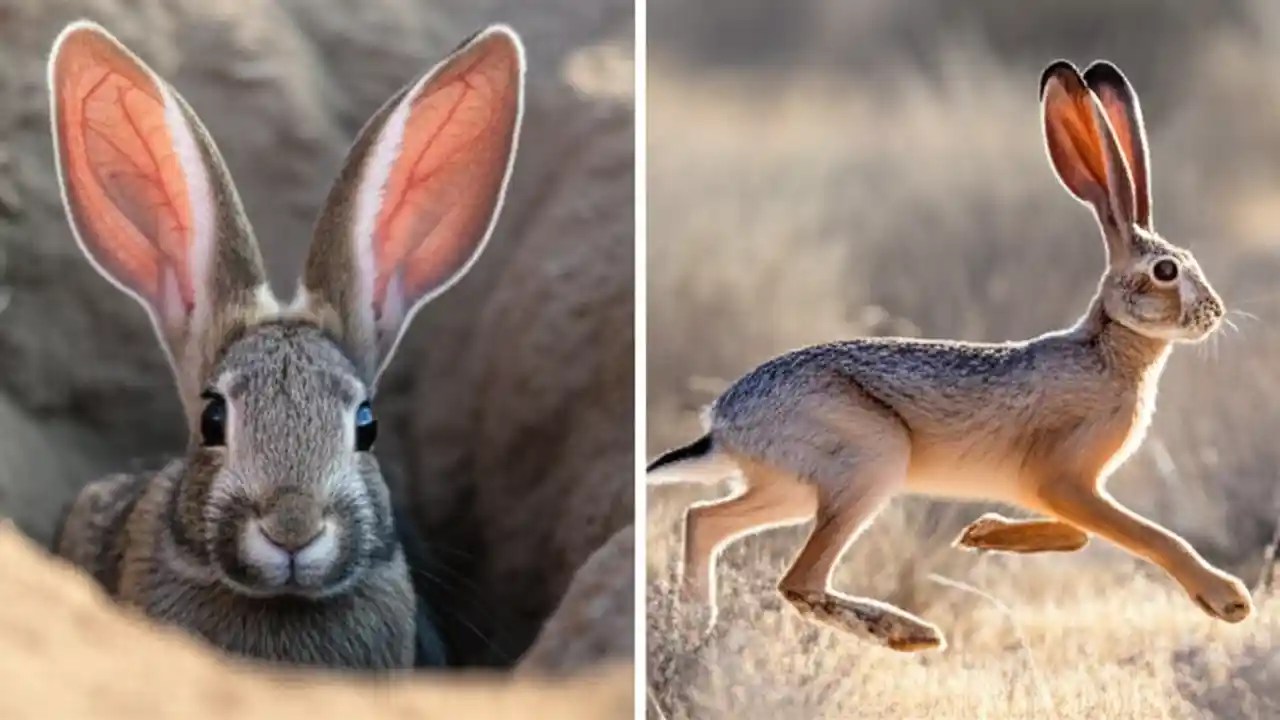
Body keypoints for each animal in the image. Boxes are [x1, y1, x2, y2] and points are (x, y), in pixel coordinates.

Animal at [647, 60, 1252, 652]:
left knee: (704, 520)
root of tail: (723, 422)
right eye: (1166, 271)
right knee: (798, 580)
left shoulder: (1059, 489)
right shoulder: (1061, 480)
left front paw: (984, 532)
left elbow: (1078, 534)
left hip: (794, 489)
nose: (1214, 313)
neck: (1108, 349)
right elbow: (1147, 535)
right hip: (871, 460)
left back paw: (695, 624)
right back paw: (904, 633)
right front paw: (1226, 599)